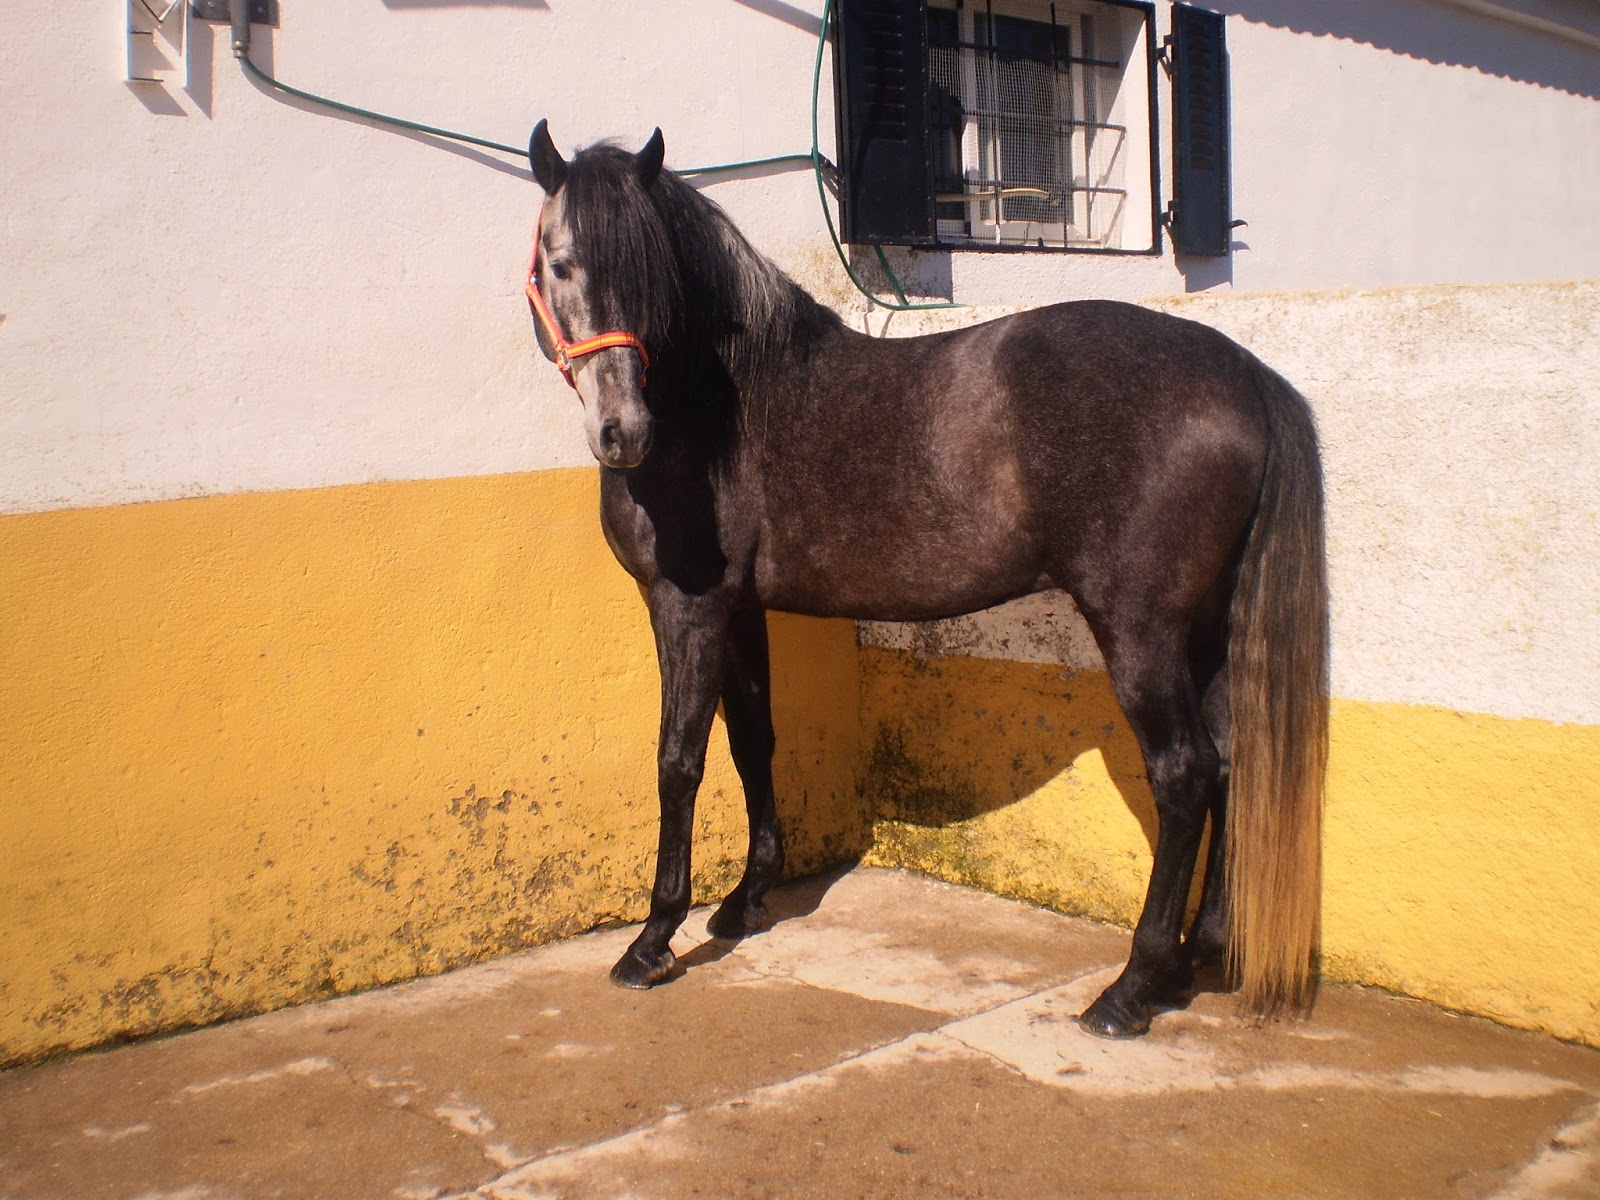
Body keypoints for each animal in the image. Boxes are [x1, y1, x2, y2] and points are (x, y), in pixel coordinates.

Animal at [523, 120, 1328, 1039]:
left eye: (651, 280)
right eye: (560, 262)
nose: (622, 432)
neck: (719, 405)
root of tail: (1246, 375)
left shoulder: (686, 607)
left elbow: (678, 762)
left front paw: (653, 939)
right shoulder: (740, 611)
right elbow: (752, 741)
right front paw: (746, 900)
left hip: (1143, 631)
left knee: (1186, 774)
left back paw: (1131, 986)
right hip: (1206, 630)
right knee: (1232, 762)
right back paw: (1201, 954)